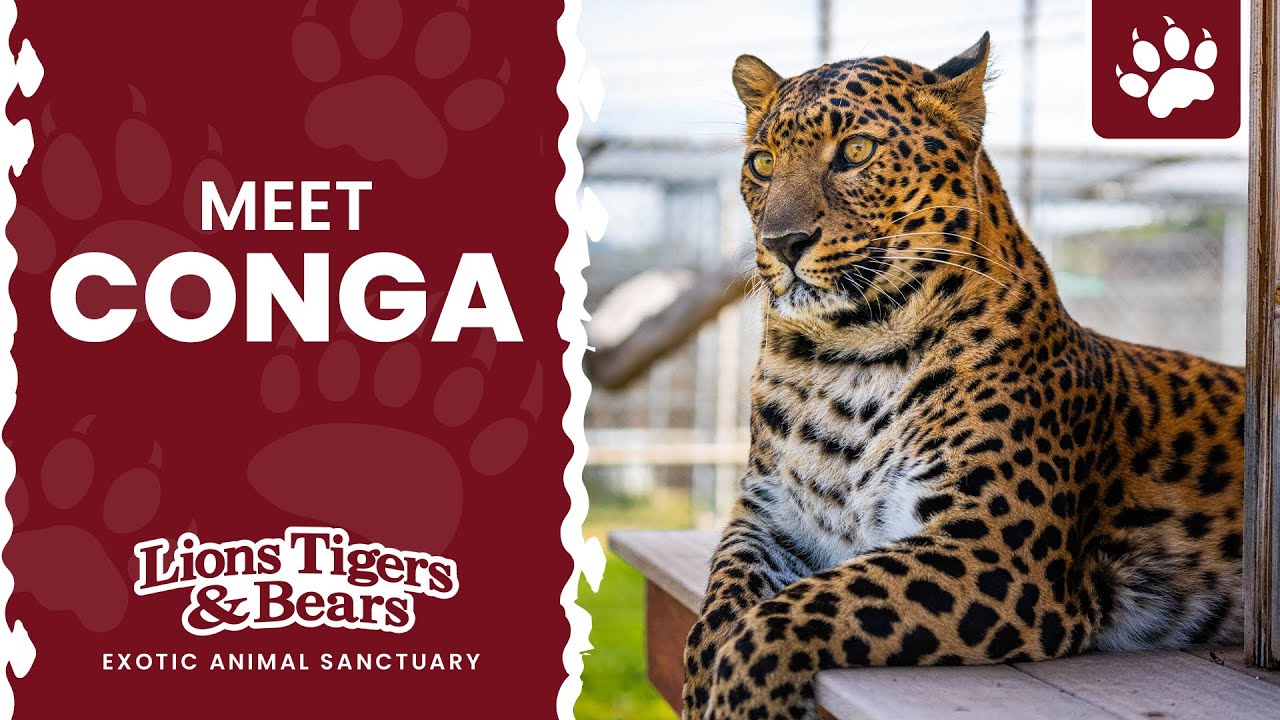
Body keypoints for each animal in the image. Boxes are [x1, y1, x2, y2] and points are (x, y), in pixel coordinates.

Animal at [680, 33, 1246, 720]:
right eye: (761, 163)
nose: (782, 242)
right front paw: (698, 683)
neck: (841, 358)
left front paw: (737, 698)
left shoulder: (992, 552)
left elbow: (785, 614)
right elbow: (717, 606)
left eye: (856, 151)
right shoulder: (770, 522)